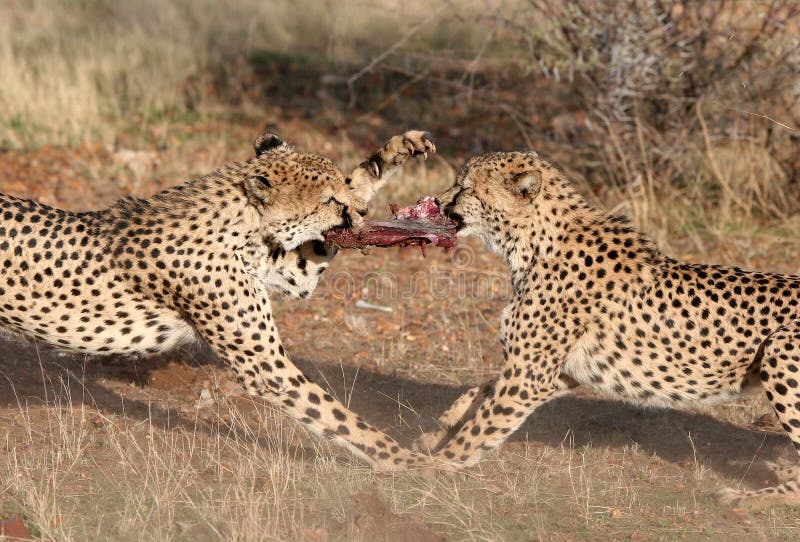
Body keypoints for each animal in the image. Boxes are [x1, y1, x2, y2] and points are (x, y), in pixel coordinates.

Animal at [0, 129, 437, 471]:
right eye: (328, 200)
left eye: (340, 190)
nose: (362, 212)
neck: (243, 221)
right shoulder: (265, 365)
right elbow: (338, 417)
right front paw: (415, 463)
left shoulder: (290, 270)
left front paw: (396, 151)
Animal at [417, 149, 800, 506]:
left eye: (466, 187)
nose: (435, 200)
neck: (531, 243)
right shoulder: (556, 373)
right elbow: (479, 392)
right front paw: (438, 428)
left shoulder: (530, 377)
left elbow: (479, 429)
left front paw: (426, 465)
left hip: (780, 351)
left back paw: (744, 498)